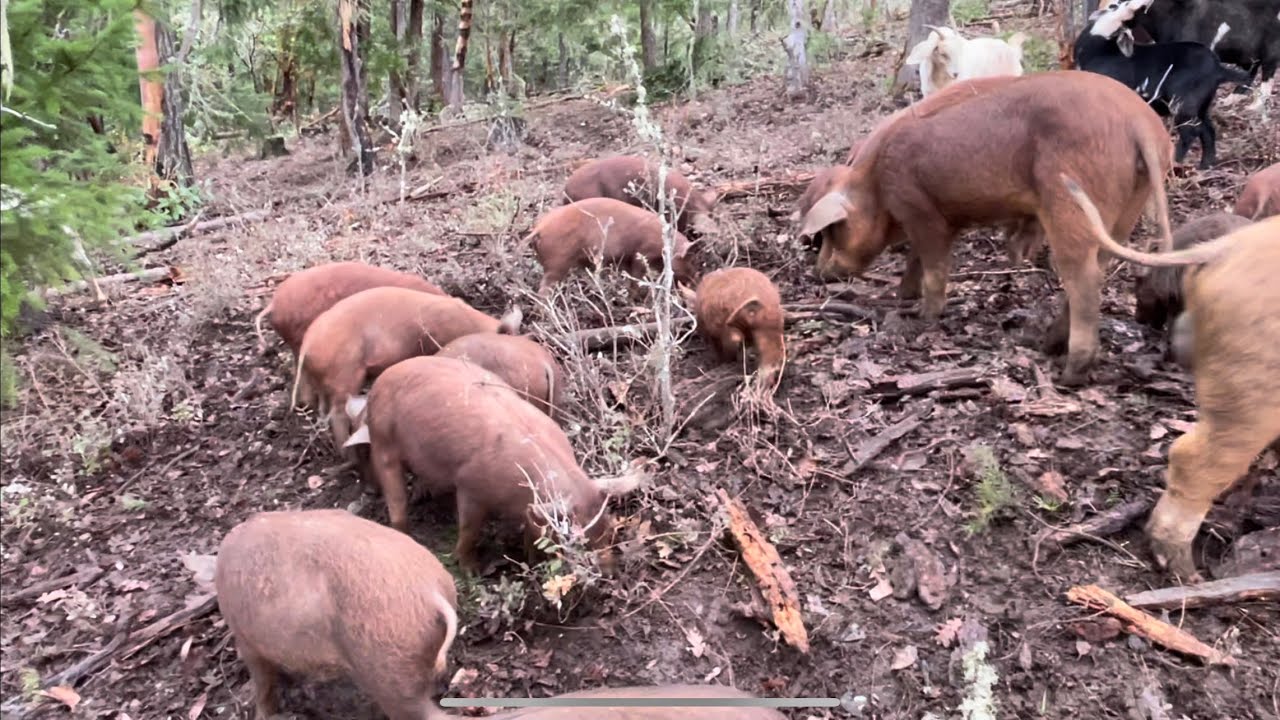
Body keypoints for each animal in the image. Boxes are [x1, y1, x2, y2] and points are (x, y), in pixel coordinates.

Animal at [343, 356, 647, 574]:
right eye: (578, 540)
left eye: (611, 530)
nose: (609, 573)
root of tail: (379, 384)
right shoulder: (470, 486)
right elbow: (469, 530)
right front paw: (471, 571)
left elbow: (532, 531)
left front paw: (532, 561)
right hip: (385, 444)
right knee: (396, 501)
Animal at [528, 197, 697, 297]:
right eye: (688, 260)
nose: (694, 279)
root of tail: (540, 228)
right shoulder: (642, 252)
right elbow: (637, 274)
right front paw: (636, 296)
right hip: (558, 261)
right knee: (544, 289)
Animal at [798, 71, 1174, 386]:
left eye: (832, 230)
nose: (819, 273)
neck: (875, 184)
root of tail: (1139, 122)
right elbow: (916, 259)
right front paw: (902, 295)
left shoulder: (922, 212)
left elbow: (933, 265)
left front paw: (921, 315)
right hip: (1126, 209)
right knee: (1099, 269)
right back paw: (1046, 344)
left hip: (1072, 200)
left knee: (1084, 280)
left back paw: (1068, 375)